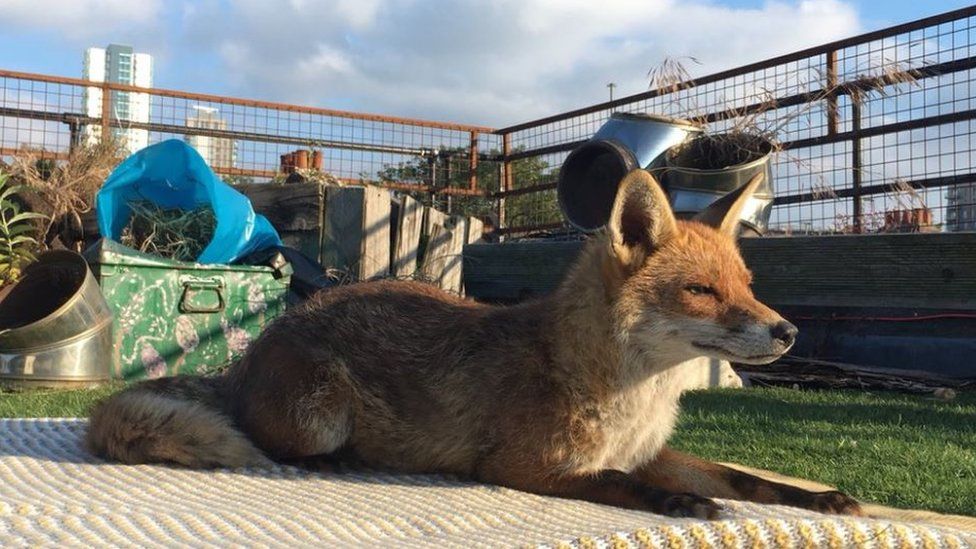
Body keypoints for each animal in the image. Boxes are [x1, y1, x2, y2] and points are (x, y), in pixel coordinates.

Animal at [87, 169, 861, 519]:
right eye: (701, 291)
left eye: (748, 285)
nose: (787, 330)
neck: (628, 397)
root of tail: (241, 360)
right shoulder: (525, 465)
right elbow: (622, 484)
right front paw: (679, 506)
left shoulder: (652, 450)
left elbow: (744, 476)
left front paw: (822, 496)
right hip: (319, 416)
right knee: (279, 444)